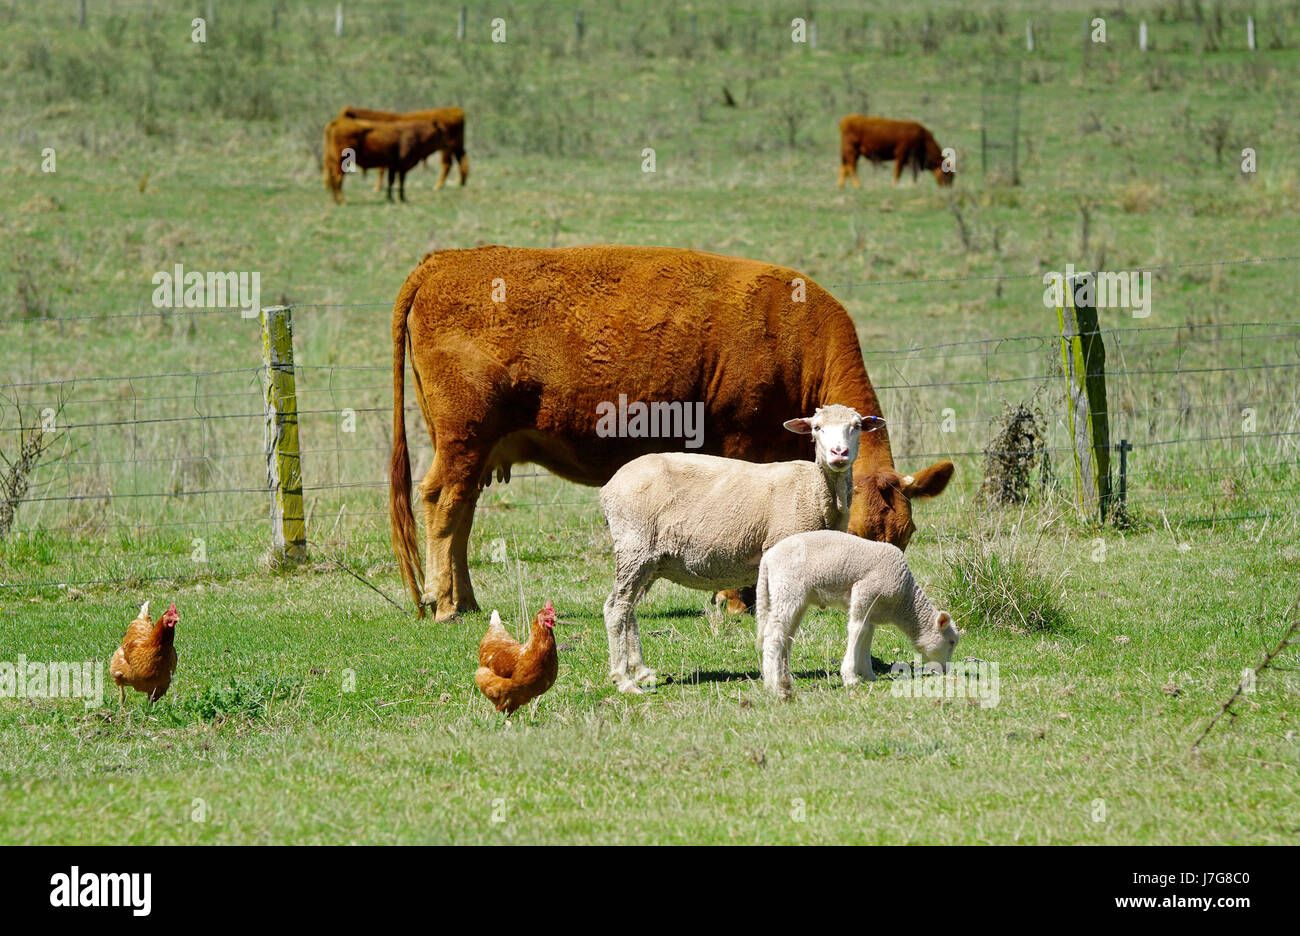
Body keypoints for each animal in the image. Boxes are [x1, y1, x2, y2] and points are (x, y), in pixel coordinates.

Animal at [336, 106, 468, 191]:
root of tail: (455, 110)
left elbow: (381, 169)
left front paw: (377, 187)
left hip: (446, 149)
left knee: (447, 164)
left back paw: (438, 186)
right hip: (457, 147)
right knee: (462, 161)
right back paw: (461, 183)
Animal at [389, 245, 954, 620]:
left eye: (904, 537)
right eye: (856, 536)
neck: (796, 335)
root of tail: (442, 260)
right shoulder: (742, 442)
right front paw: (735, 601)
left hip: (474, 448)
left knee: (461, 513)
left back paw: (466, 599)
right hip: (464, 438)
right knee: (443, 503)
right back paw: (445, 604)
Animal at [599, 404, 873, 693]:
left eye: (856, 426)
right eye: (817, 428)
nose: (839, 453)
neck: (815, 491)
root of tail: (609, 487)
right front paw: (779, 674)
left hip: (649, 559)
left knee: (628, 608)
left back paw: (641, 672)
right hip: (634, 546)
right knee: (616, 607)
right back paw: (624, 680)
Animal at [755, 529, 959, 699]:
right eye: (951, 643)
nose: (946, 671)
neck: (904, 602)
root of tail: (767, 560)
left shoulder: (872, 608)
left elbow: (867, 634)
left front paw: (868, 674)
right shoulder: (865, 592)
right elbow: (857, 630)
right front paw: (850, 677)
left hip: (794, 598)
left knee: (786, 637)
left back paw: (784, 678)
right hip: (787, 589)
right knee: (773, 635)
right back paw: (773, 684)